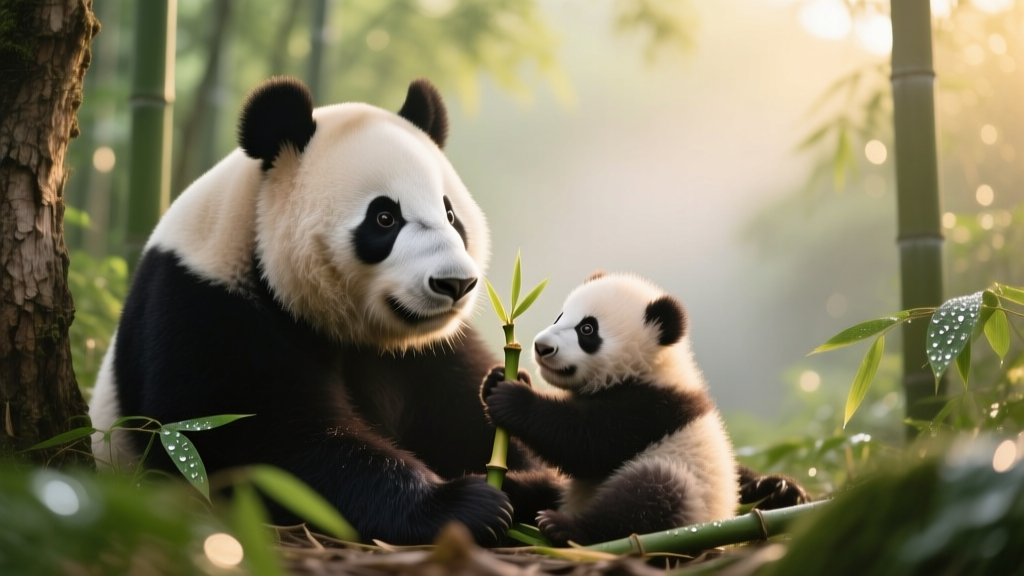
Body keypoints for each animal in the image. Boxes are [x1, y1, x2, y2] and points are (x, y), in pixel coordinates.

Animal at [88, 76, 560, 545]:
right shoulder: (205, 304)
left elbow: (465, 415)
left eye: (450, 214)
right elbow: (260, 438)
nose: (454, 284)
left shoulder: (429, 354)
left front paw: (522, 456)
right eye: (384, 218)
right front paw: (462, 504)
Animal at [481, 272, 804, 546]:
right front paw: (499, 378)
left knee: (647, 499)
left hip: (682, 493)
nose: (542, 346)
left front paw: (512, 397)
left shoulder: (651, 407)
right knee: (536, 488)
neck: (651, 366)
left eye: (587, 329)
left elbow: (587, 444)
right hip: (563, 490)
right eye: (560, 316)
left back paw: (565, 528)